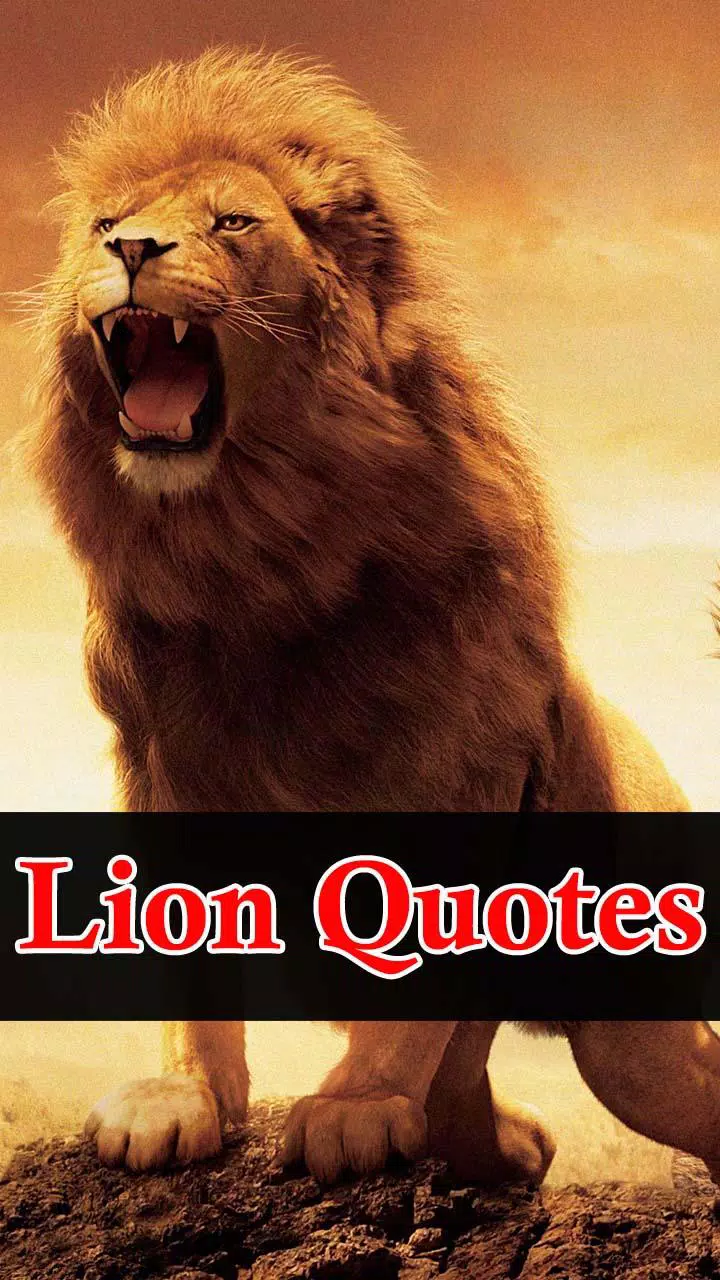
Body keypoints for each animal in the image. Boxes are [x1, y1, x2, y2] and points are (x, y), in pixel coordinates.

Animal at [28, 48, 718, 1188]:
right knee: (471, 1083)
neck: (255, 550)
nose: (131, 250)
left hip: (638, 1035)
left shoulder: (470, 756)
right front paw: (177, 1102)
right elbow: (179, 956)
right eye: (105, 224)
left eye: (231, 223)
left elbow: (420, 981)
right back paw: (502, 1144)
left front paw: (354, 1110)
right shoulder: (161, 752)